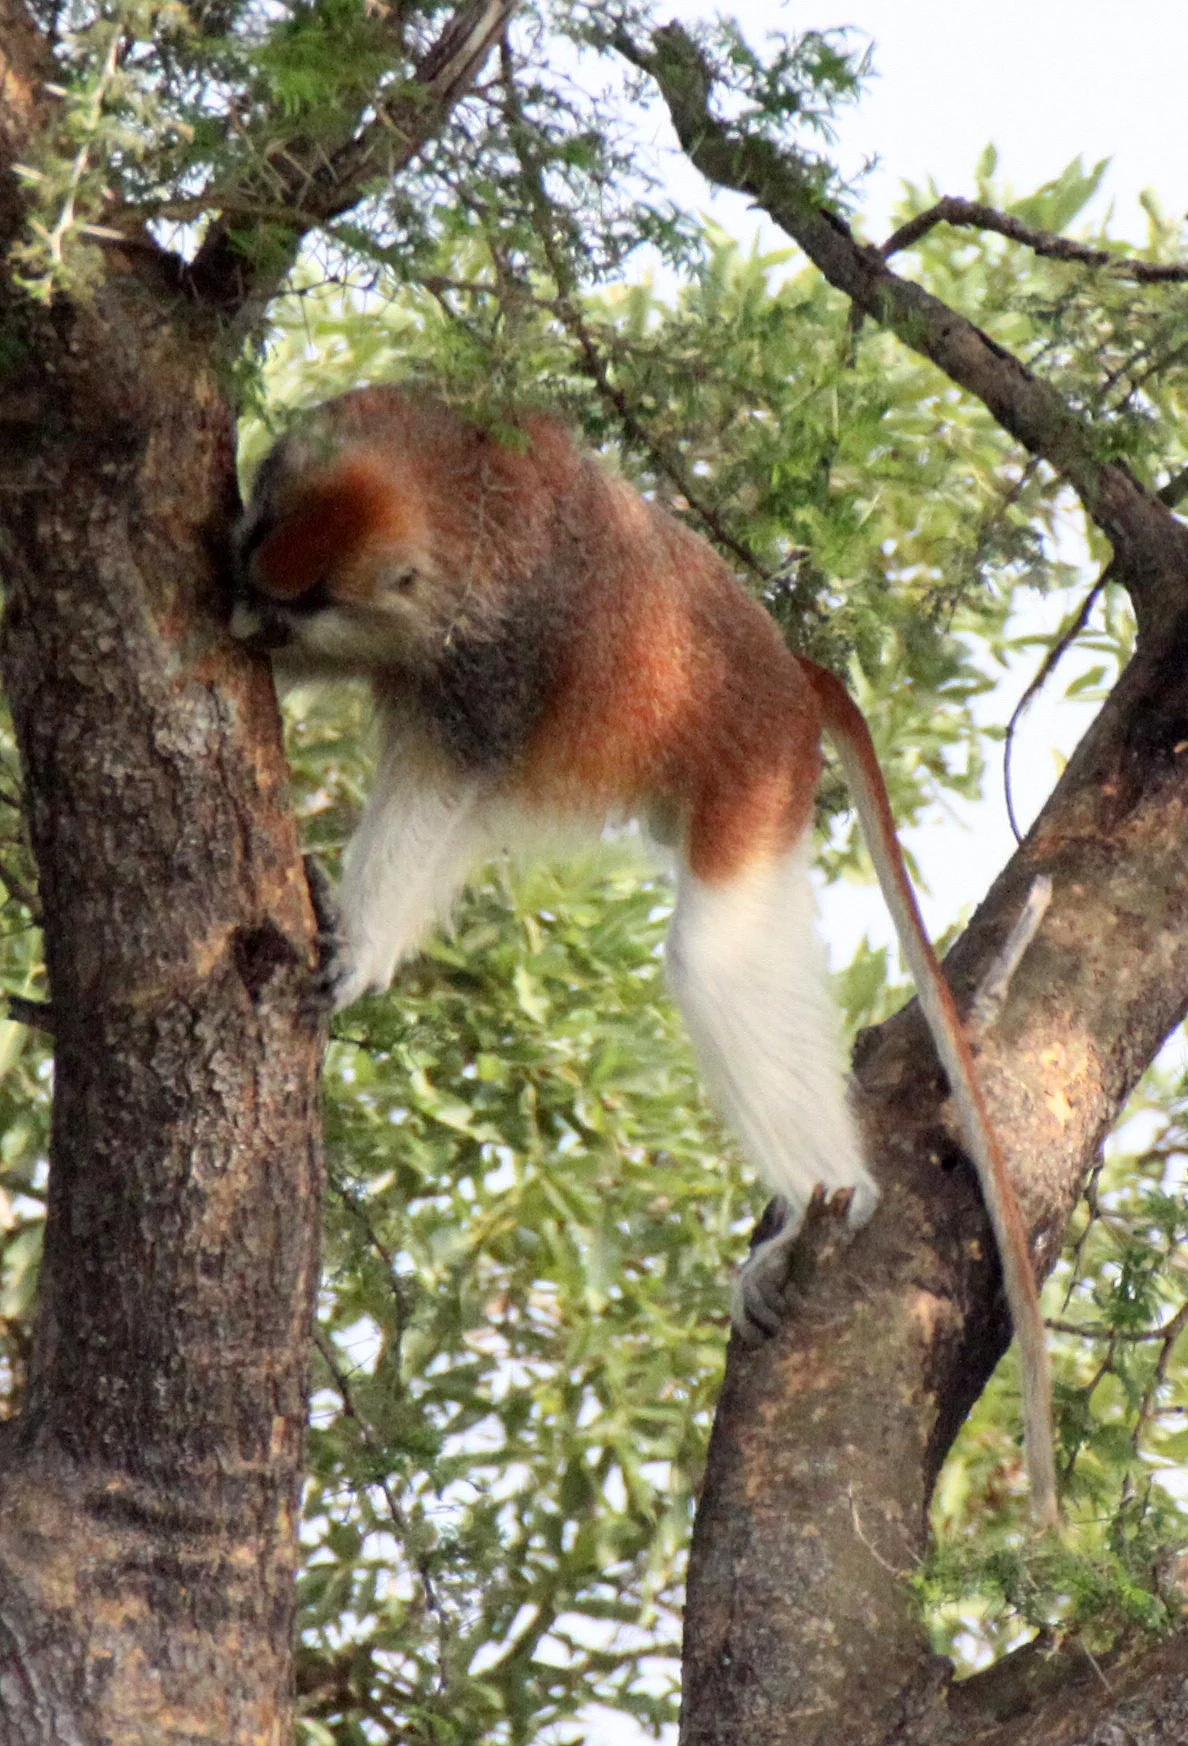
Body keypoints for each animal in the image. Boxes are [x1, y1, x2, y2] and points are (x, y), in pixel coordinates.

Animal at [231, 383, 1058, 1526]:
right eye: (256, 538)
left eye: (308, 598)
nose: (243, 606)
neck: (447, 480)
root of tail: (781, 658)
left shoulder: (496, 660)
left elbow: (447, 780)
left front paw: (352, 949)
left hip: (755, 768)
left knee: (715, 959)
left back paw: (836, 1201)